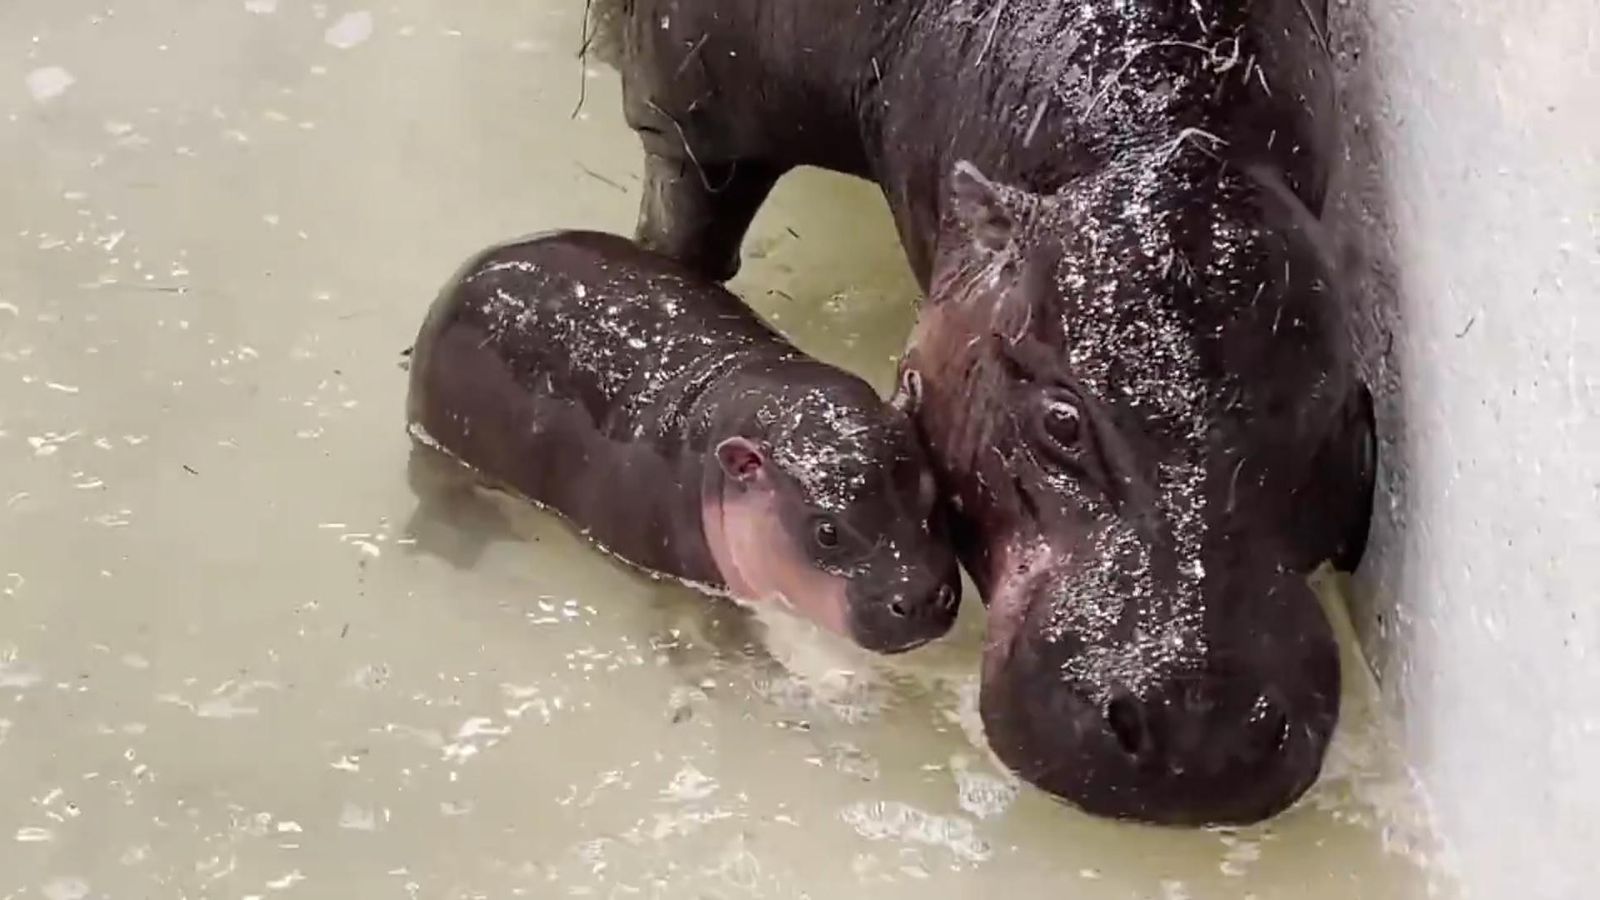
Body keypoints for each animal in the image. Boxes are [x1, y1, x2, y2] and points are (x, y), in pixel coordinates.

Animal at [405, 230, 962, 653]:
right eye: (826, 532)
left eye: (932, 492)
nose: (922, 595)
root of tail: (468, 269)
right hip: (441, 448)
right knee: (438, 496)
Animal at [584, 0, 1377, 824]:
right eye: (1062, 420)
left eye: (1336, 433)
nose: (1202, 732)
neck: (1153, 132)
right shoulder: (689, 126)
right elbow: (682, 252)